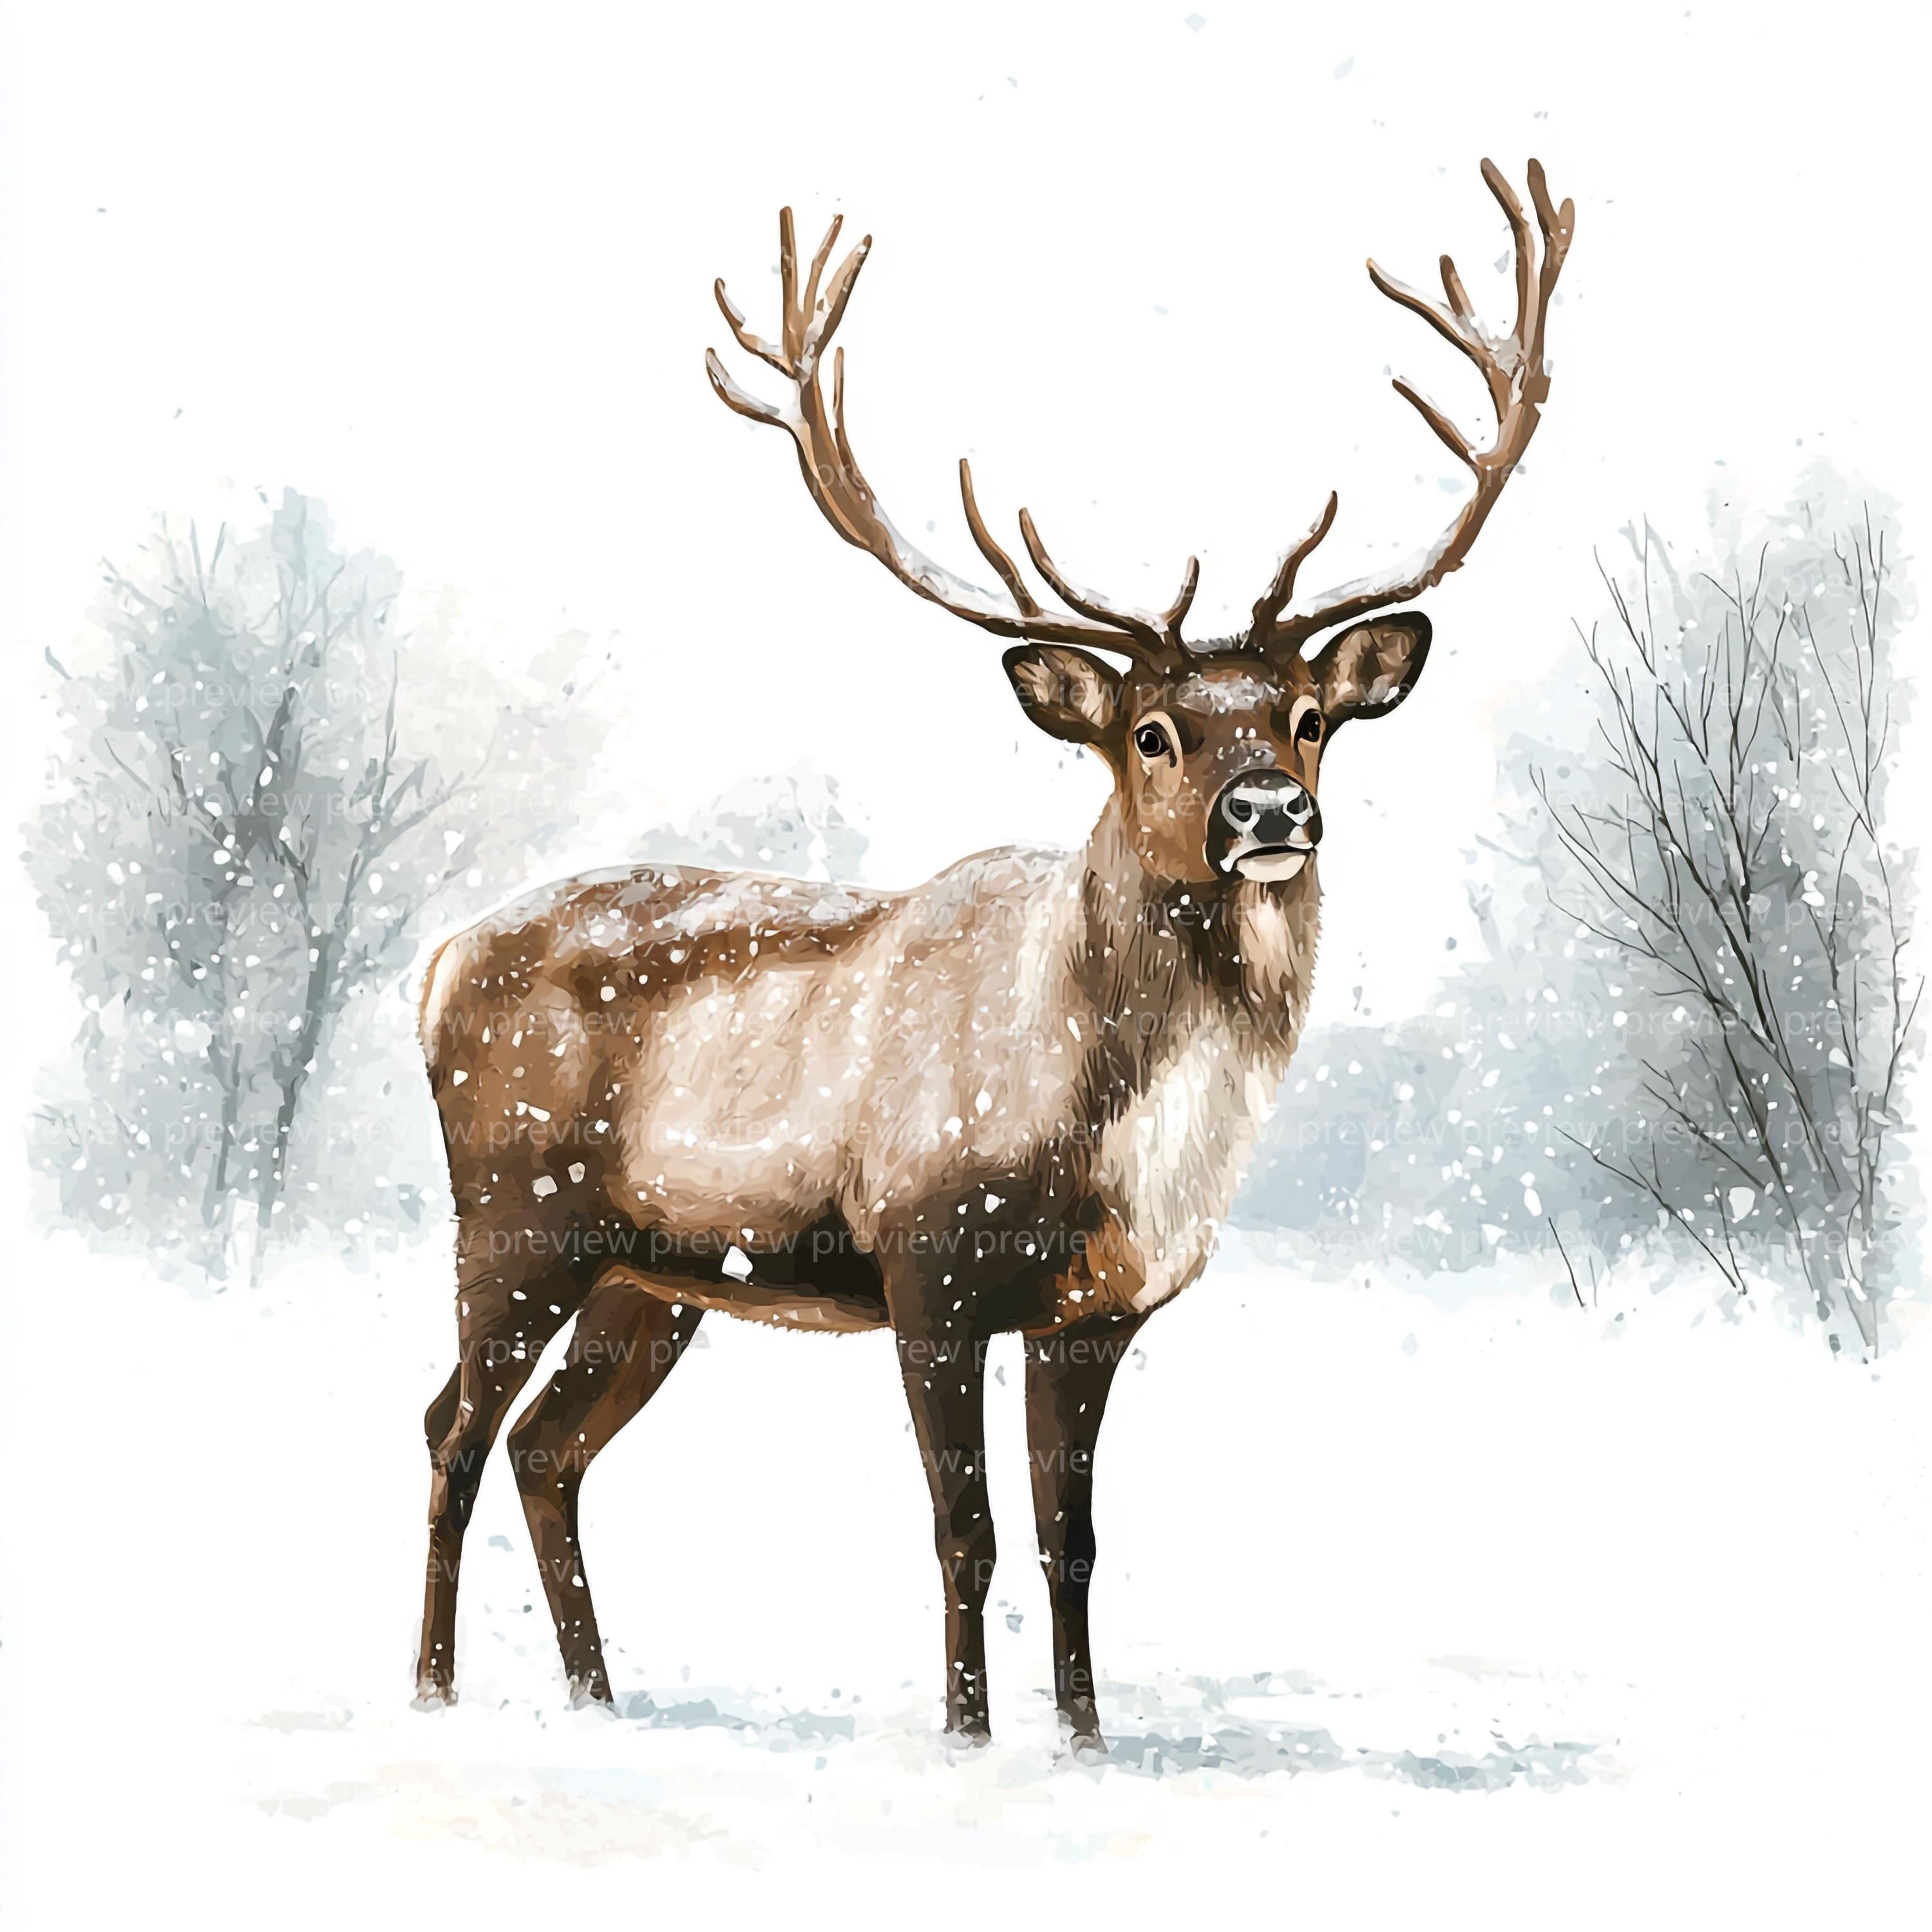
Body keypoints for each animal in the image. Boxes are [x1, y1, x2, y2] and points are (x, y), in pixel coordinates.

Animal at [413, 159, 1573, 1753]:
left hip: (650, 1278)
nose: (1269, 813)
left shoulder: (1094, 1312)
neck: (1103, 1120)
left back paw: (601, 1700)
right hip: (515, 1218)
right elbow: (961, 1532)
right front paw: (967, 1739)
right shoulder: (929, 1267)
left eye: (1307, 719)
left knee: (546, 1448)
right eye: (1151, 732)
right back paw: (433, 1691)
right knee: (453, 1429)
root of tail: (432, 967)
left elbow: (1068, 1539)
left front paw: (1086, 1742)